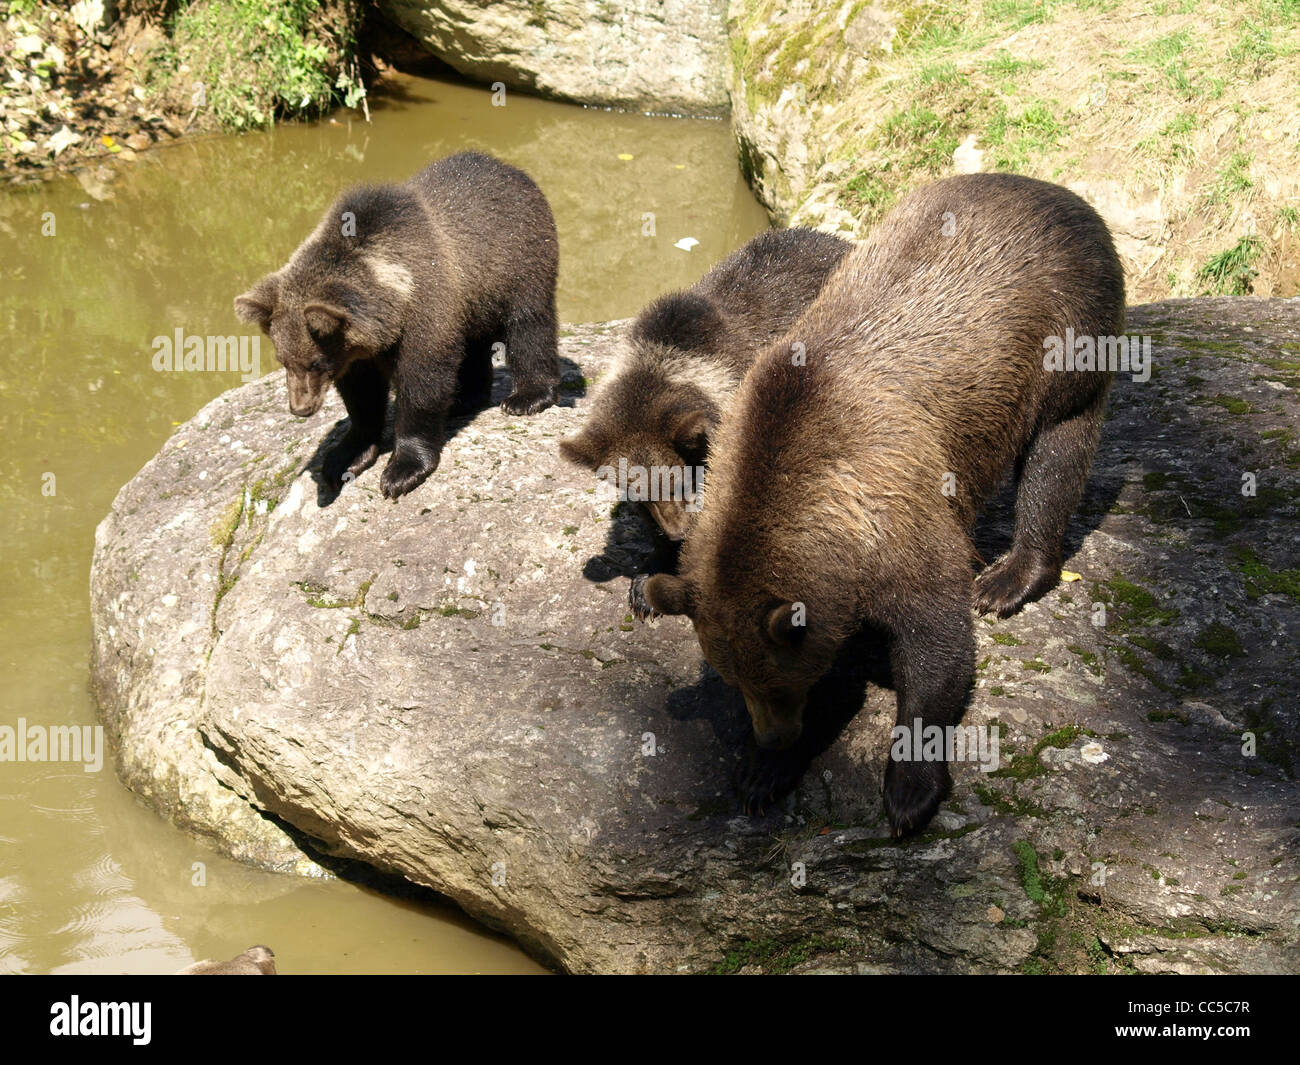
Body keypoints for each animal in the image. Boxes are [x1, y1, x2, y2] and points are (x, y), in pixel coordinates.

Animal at [235, 151, 560, 500]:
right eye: (283, 360)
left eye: (316, 362)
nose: (300, 408)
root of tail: (511, 169)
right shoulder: (355, 352)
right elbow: (361, 397)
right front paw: (345, 457)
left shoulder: (425, 310)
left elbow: (422, 384)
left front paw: (402, 471)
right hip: (474, 299)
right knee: (473, 344)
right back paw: (465, 398)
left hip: (519, 261)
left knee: (528, 324)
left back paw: (526, 397)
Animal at [643, 173, 1125, 836]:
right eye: (735, 680)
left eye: (778, 681)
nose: (772, 736)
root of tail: (1054, 190)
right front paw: (761, 775)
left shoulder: (896, 515)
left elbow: (935, 644)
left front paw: (909, 790)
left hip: (1068, 334)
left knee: (1058, 452)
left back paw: (1011, 576)